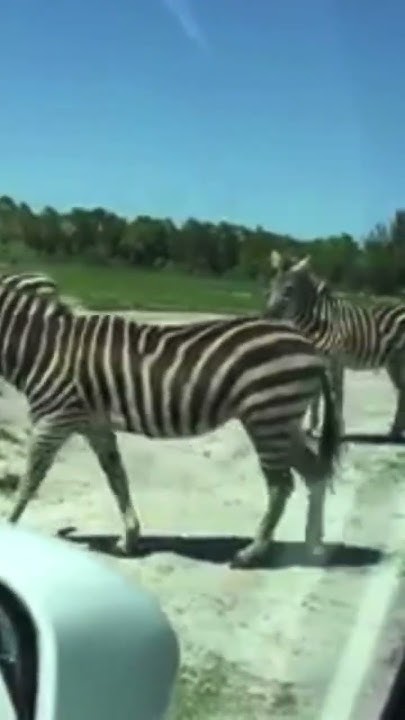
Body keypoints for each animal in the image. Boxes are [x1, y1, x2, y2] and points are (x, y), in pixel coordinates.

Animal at [0, 277, 341, 568]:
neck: (42, 347)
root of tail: (309, 346)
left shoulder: (53, 419)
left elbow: (30, 480)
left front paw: (9, 531)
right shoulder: (93, 425)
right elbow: (117, 477)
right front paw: (129, 539)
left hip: (267, 417)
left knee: (281, 486)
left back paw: (250, 554)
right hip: (282, 421)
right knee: (315, 472)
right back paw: (315, 547)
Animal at [265, 250, 405, 438]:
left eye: (289, 290)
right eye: (271, 286)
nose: (266, 317)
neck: (317, 322)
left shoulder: (336, 361)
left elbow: (336, 394)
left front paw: (337, 429)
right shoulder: (316, 360)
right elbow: (316, 397)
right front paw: (312, 427)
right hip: (393, 362)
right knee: (402, 391)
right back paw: (395, 430)